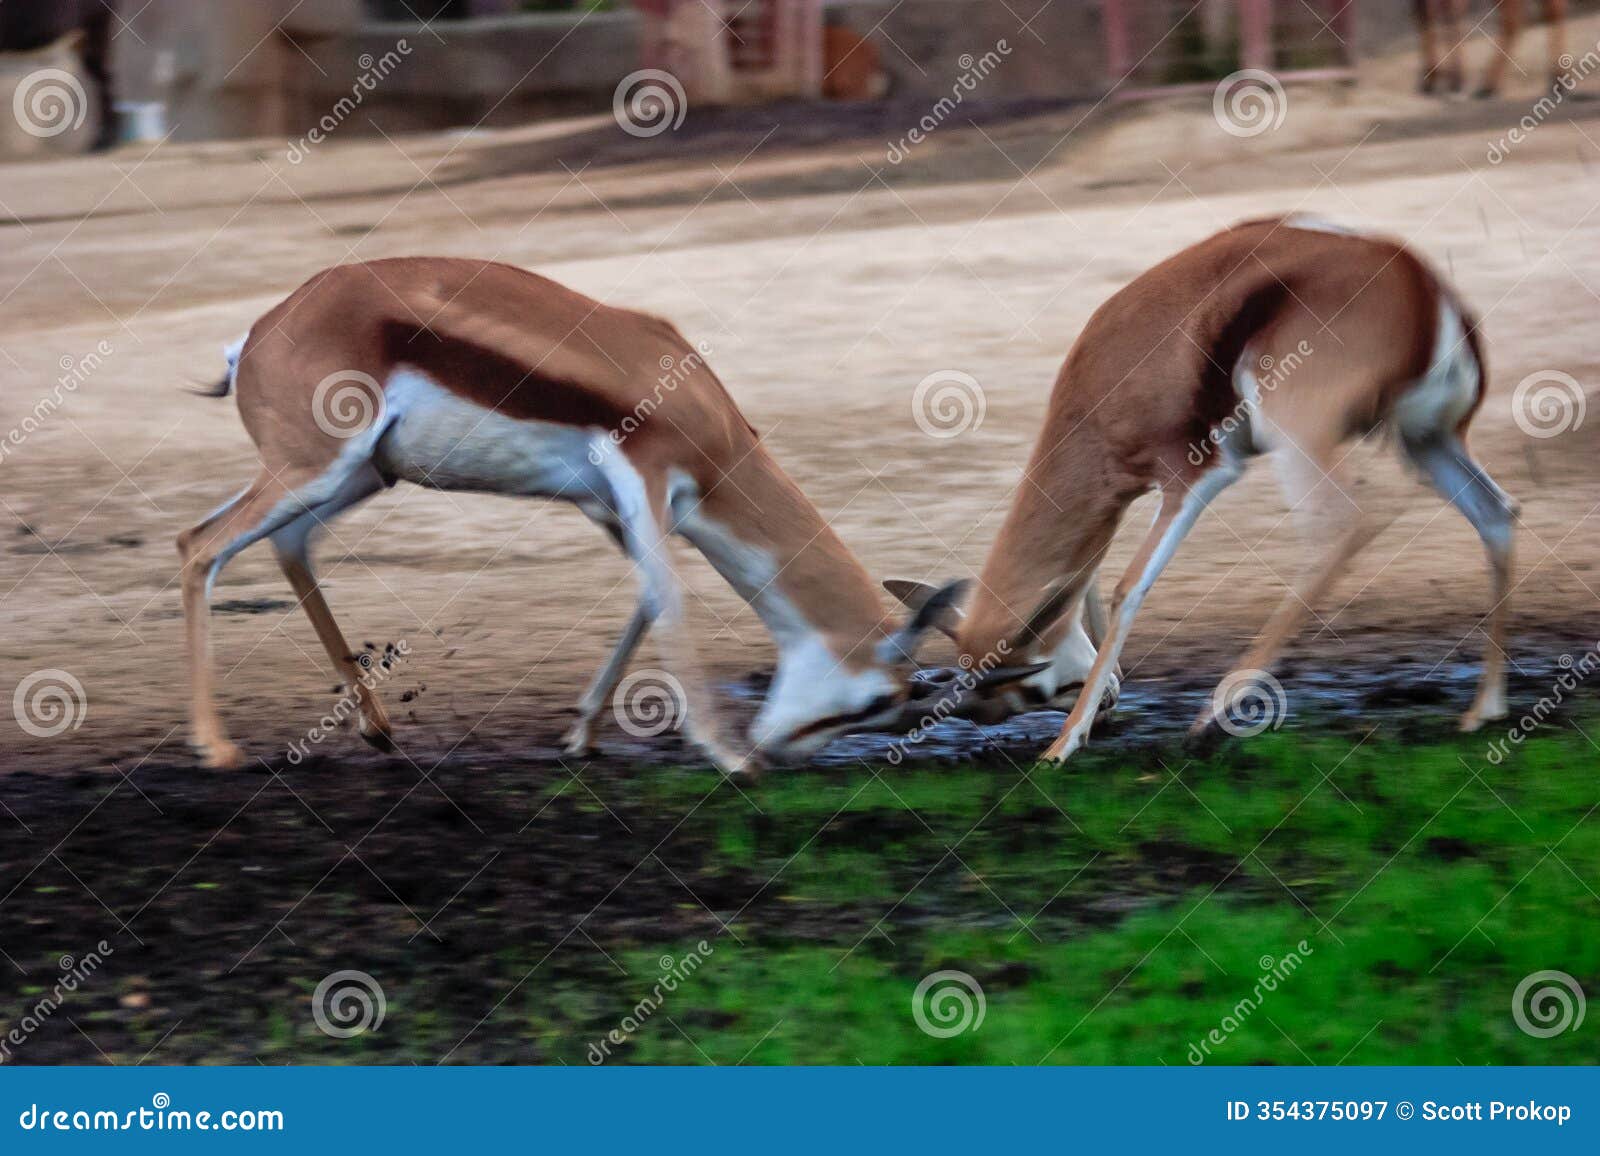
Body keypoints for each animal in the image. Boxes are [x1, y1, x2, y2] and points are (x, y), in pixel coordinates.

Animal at [178, 257, 1036, 774]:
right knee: (198, 544)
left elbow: (645, 600)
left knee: (283, 545)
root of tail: (258, 333)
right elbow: (671, 599)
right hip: (315, 469)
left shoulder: (614, 506)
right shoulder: (642, 481)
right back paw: (216, 748)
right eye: (877, 703)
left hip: (353, 476)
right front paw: (726, 757)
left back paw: (378, 727)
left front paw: (583, 734)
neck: (709, 418)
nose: (778, 751)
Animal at [882, 216, 1517, 763]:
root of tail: (1423, 285)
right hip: (1428, 440)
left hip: (1303, 438)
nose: (1106, 704)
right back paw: (1483, 711)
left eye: (1031, 688)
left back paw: (1208, 721)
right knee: (1498, 514)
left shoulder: (1196, 473)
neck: (1102, 389)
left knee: (1344, 524)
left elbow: (1128, 587)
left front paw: (1060, 748)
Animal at [1415, 0, 1568, 98]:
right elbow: (1426, 16)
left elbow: (1445, 14)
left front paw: (1453, 81)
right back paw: (1557, 79)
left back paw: (1488, 85)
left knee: (1514, 21)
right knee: (1551, 10)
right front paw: (1435, 78)